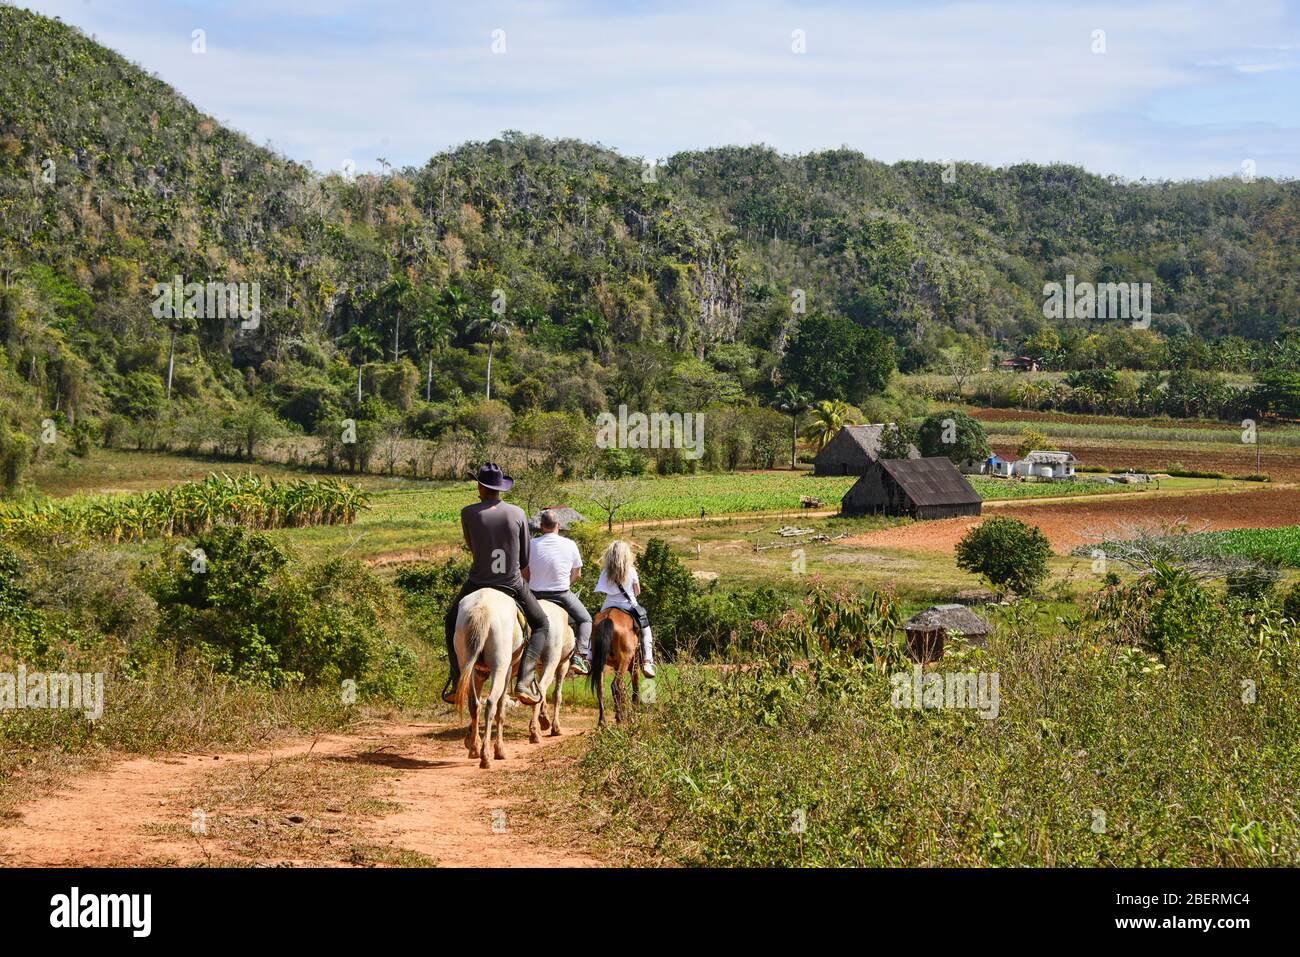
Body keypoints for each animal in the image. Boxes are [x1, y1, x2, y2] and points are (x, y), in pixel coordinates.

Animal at [453, 588, 524, 769]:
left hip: (465, 663)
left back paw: (475, 750)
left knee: (474, 704)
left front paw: (472, 742)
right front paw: (499, 750)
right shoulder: (507, 669)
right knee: (491, 703)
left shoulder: (478, 671)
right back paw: (486, 756)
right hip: (500, 667)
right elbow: (501, 709)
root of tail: (482, 608)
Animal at [529, 599, 576, 742]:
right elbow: (557, 695)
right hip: (552, 661)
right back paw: (534, 733)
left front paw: (544, 719)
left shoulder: (539, 667)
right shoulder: (563, 665)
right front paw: (555, 728)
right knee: (542, 688)